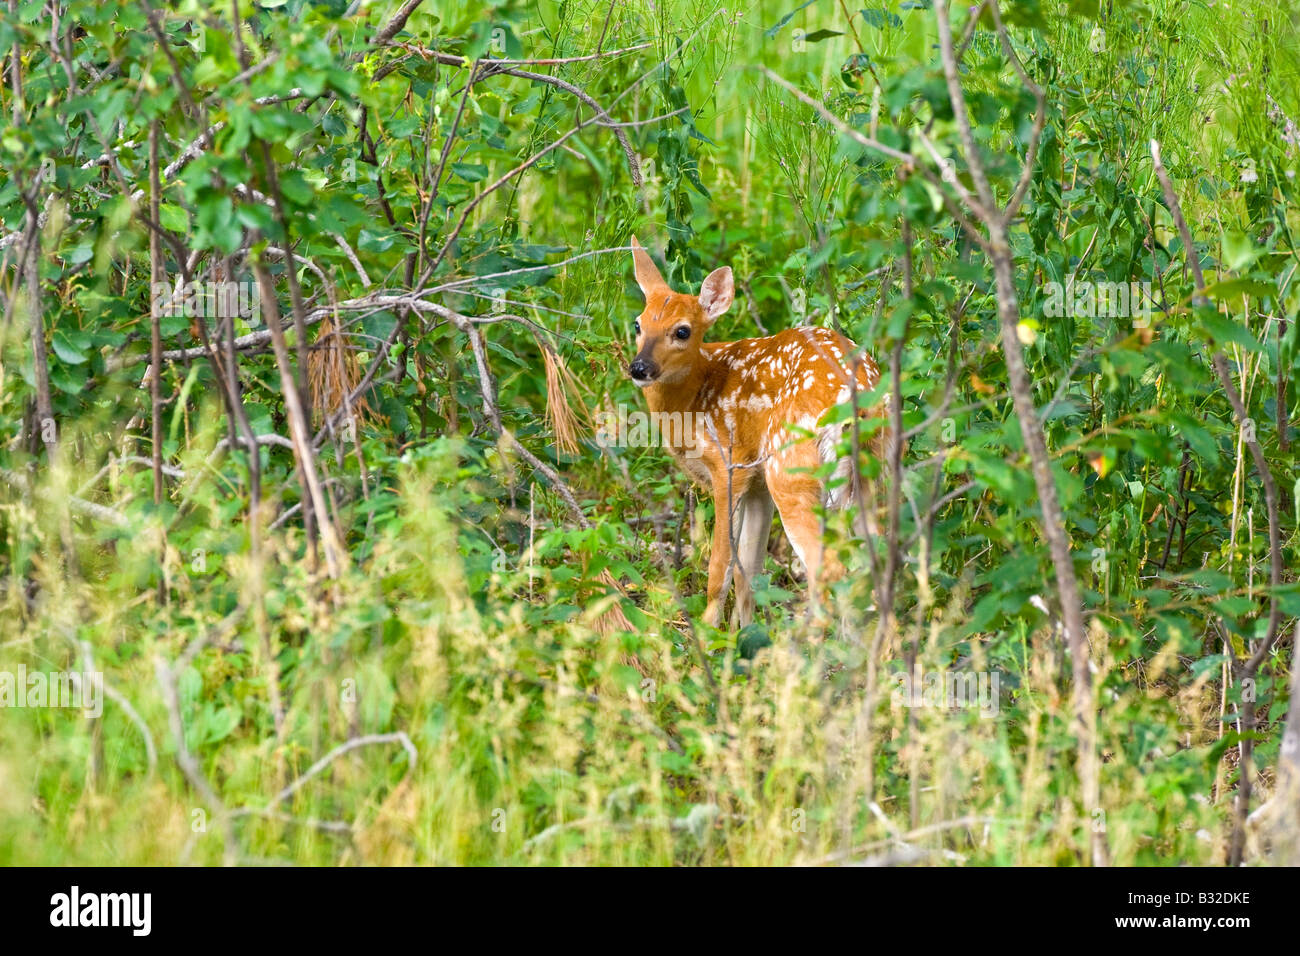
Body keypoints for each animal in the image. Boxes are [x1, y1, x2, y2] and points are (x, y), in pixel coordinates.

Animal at [627, 237, 888, 629]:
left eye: (683, 331)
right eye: (639, 324)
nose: (639, 368)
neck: (696, 397)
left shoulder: (730, 465)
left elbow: (721, 565)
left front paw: (709, 630)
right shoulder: (757, 484)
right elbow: (748, 569)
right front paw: (743, 633)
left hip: (790, 466)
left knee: (829, 570)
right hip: (870, 473)